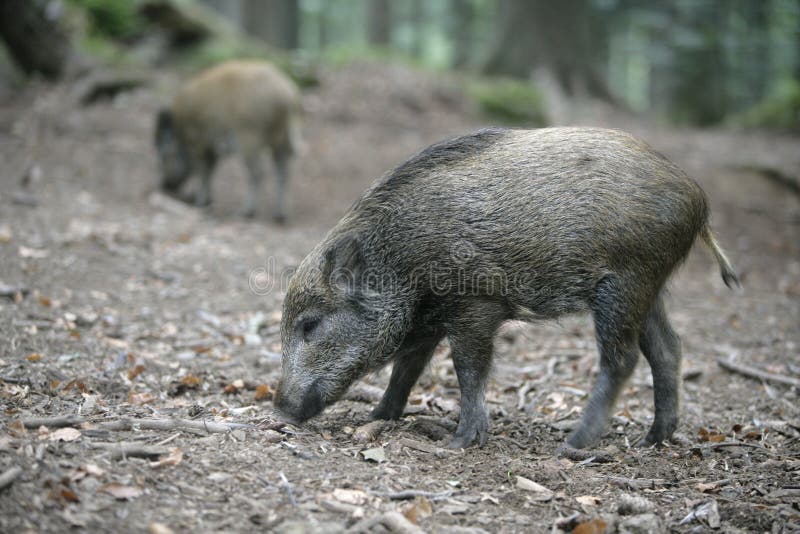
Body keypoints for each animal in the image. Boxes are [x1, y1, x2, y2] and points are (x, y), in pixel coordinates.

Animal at [154, 60, 302, 222]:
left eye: (164, 155)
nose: (165, 185)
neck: (180, 127)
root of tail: (287, 95)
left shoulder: (197, 144)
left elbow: (202, 171)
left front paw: (199, 203)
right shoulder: (211, 149)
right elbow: (210, 171)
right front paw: (208, 201)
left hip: (250, 141)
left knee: (257, 173)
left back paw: (246, 212)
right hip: (281, 143)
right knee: (283, 173)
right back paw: (279, 216)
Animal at [274, 127, 739, 450]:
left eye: (310, 324)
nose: (278, 409)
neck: (400, 258)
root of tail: (698, 200)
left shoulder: (475, 305)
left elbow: (468, 369)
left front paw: (460, 442)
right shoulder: (427, 320)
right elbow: (406, 369)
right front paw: (379, 416)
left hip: (624, 284)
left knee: (622, 359)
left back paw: (573, 444)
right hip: (650, 288)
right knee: (668, 349)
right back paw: (653, 439)